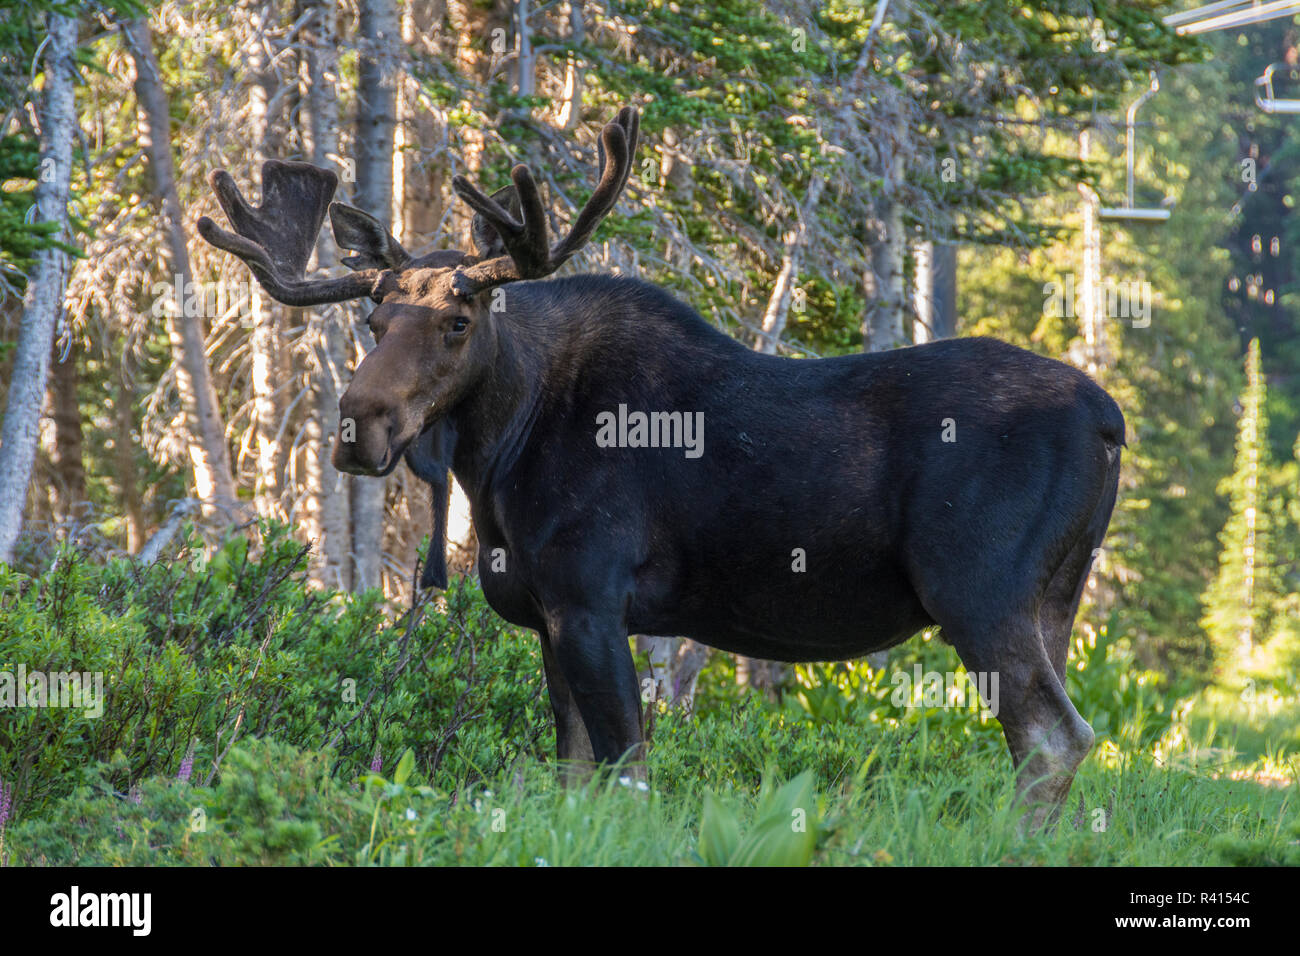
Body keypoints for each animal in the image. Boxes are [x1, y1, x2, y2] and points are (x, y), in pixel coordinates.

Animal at [198, 106, 1125, 829]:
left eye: (458, 323)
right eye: (372, 321)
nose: (359, 427)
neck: (498, 457)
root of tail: (1110, 420)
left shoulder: (592, 600)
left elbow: (629, 774)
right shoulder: (548, 618)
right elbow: (571, 778)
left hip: (976, 588)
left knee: (1053, 737)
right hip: (1055, 596)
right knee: (1055, 736)